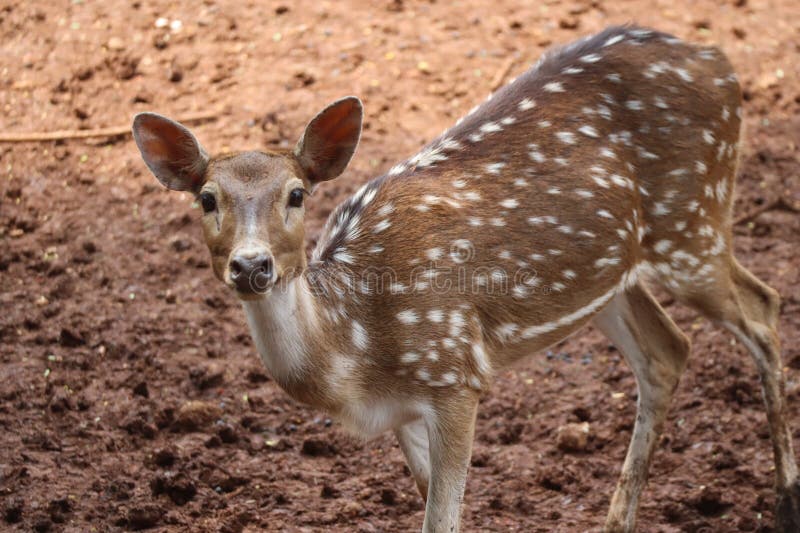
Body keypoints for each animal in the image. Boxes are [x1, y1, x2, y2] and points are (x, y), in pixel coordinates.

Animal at [131, 25, 800, 532]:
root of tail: (720, 61)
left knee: (764, 306)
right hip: (610, 274)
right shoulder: (406, 414)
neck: (355, 351)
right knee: (667, 349)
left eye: (296, 194)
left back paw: (785, 501)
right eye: (207, 199)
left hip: (693, 221)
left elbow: (441, 517)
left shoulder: (454, 371)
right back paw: (618, 521)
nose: (251, 265)